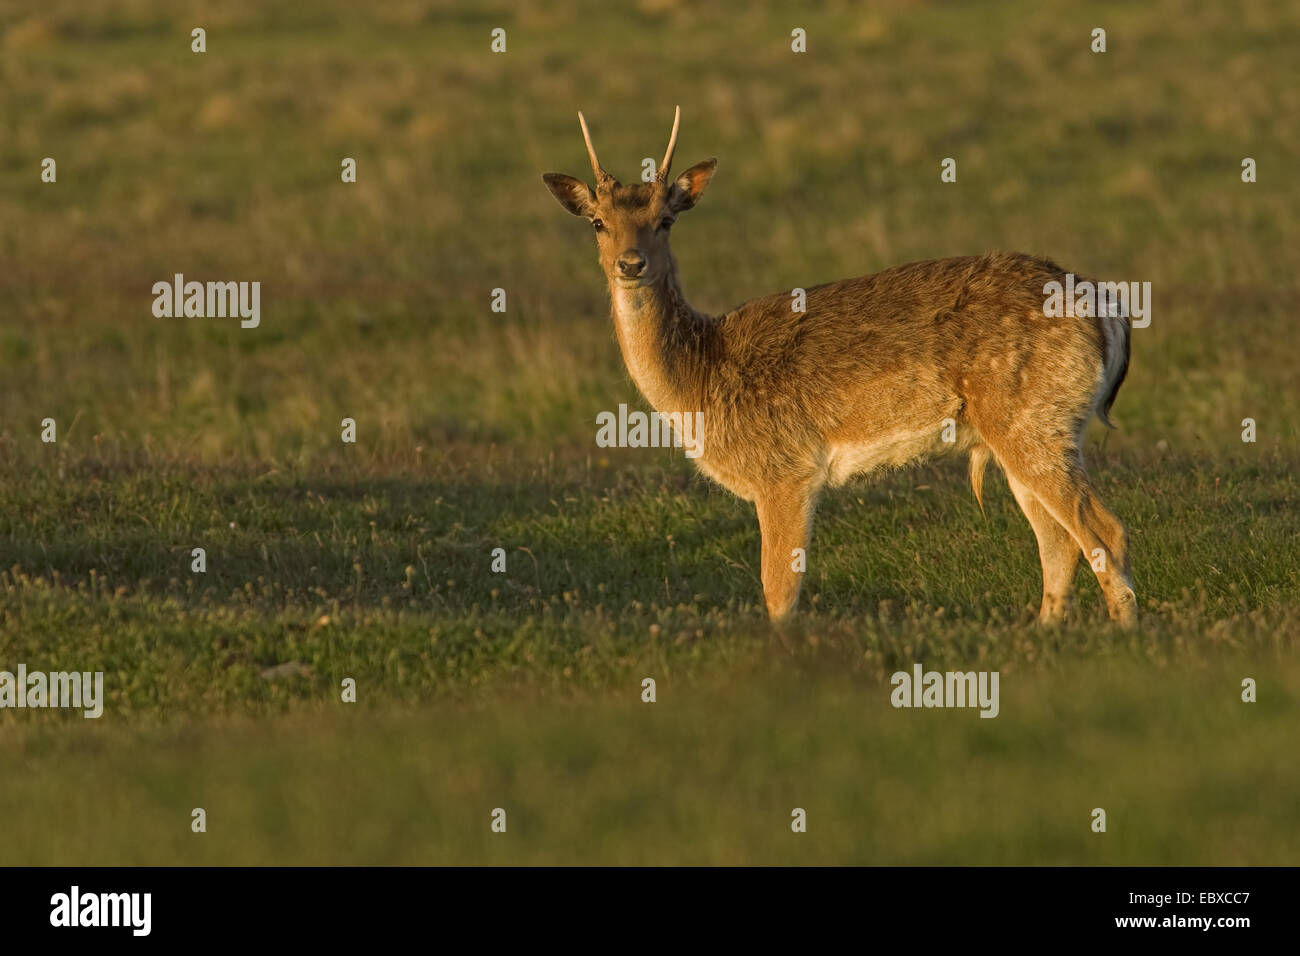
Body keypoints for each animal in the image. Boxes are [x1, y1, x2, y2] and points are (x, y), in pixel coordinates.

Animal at [542, 107, 1137, 628]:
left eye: (665, 220)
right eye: (597, 222)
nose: (631, 263)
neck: (701, 384)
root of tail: (1106, 310)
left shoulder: (784, 470)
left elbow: (778, 591)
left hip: (1034, 423)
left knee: (1105, 532)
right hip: (1027, 432)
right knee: (1058, 543)